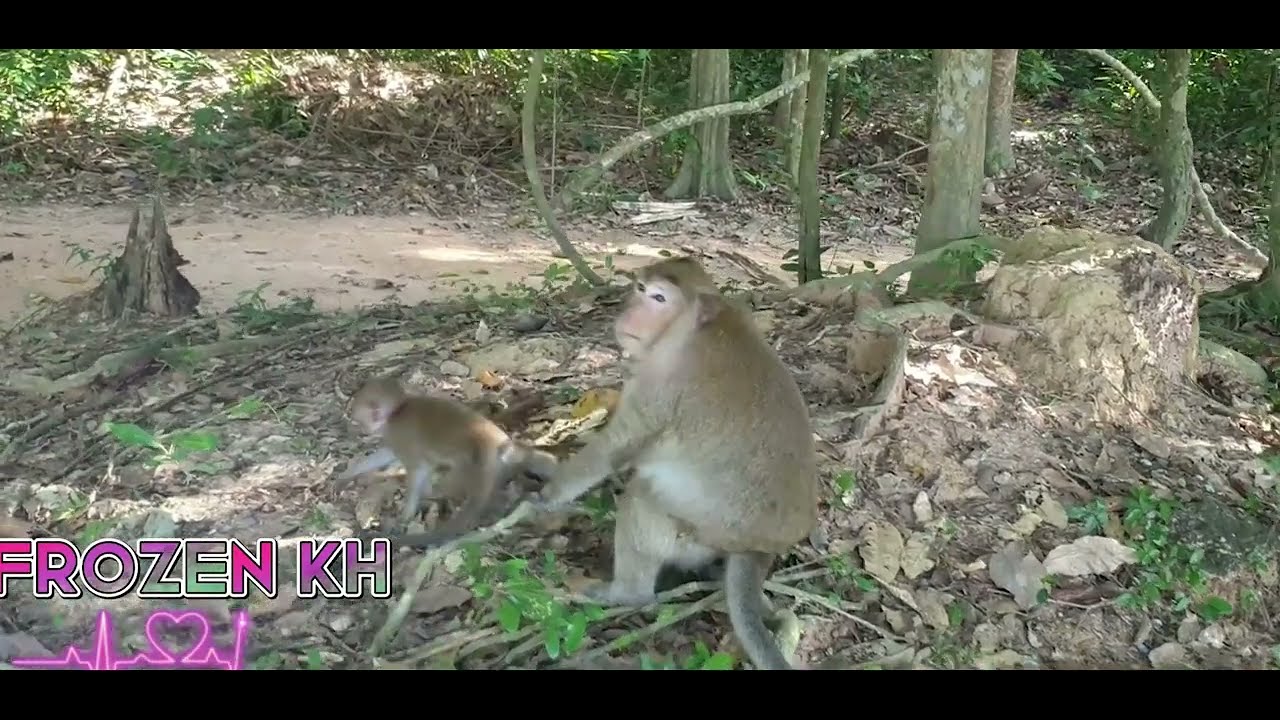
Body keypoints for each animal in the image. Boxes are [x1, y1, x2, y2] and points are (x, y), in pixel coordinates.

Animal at [341, 376, 558, 548]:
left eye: (358, 415)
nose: (354, 422)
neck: (398, 410)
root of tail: (487, 445)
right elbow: (387, 455)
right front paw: (346, 475)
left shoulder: (399, 434)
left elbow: (418, 468)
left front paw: (406, 514)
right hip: (510, 452)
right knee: (537, 460)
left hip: (468, 467)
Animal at [531, 258, 819, 670]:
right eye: (639, 288)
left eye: (658, 298)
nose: (629, 314)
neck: (691, 322)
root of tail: (758, 548)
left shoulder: (661, 379)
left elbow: (616, 447)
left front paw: (548, 494)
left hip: (696, 532)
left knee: (642, 498)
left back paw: (625, 594)